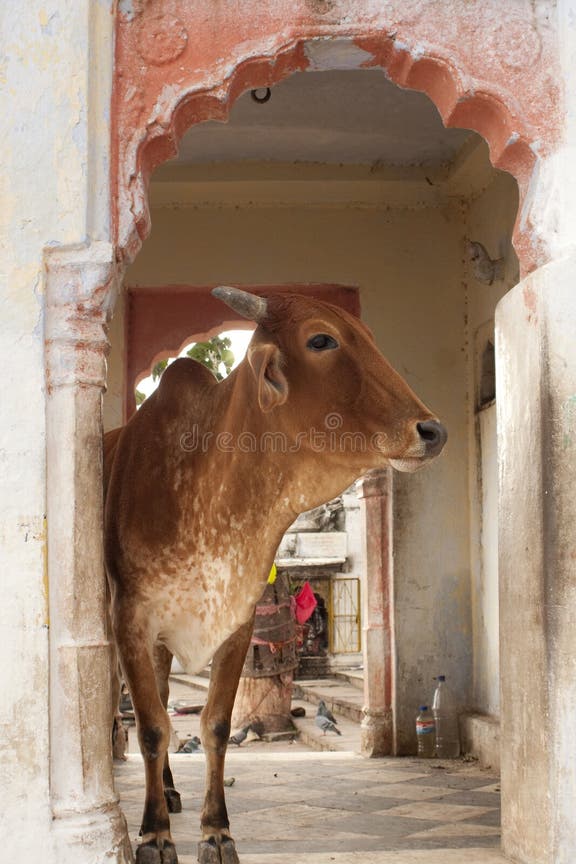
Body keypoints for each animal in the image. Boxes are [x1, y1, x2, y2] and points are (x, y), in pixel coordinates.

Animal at [104, 287, 447, 864]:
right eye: (321, 340)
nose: (432, 431)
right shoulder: (130, 617)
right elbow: (150, 727)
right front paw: (153, 836)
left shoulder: (237, 621)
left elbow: (217, 725)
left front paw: (217, 833)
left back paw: (171, 790)